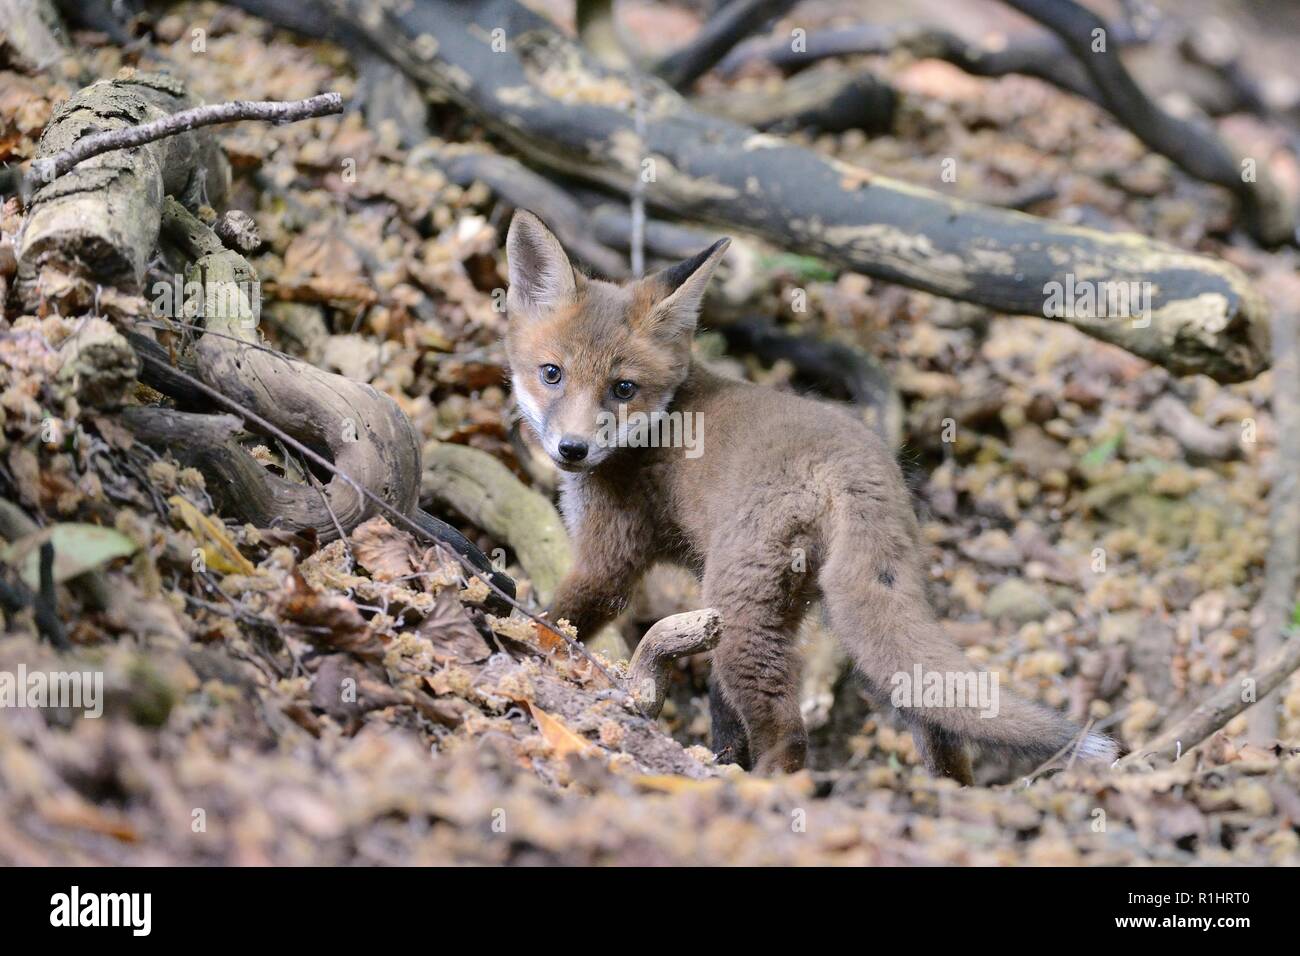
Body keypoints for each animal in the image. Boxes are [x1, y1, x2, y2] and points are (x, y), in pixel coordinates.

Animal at [503, 209, 1118, 780]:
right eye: (552, 374)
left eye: (623, 389)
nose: (572, 449)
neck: (662, 420)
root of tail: (859, 464)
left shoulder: (610, 560)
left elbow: (558, 620)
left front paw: (521, 645)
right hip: (832, 608)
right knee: (935, 725)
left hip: (741, 615)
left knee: (789, 737)